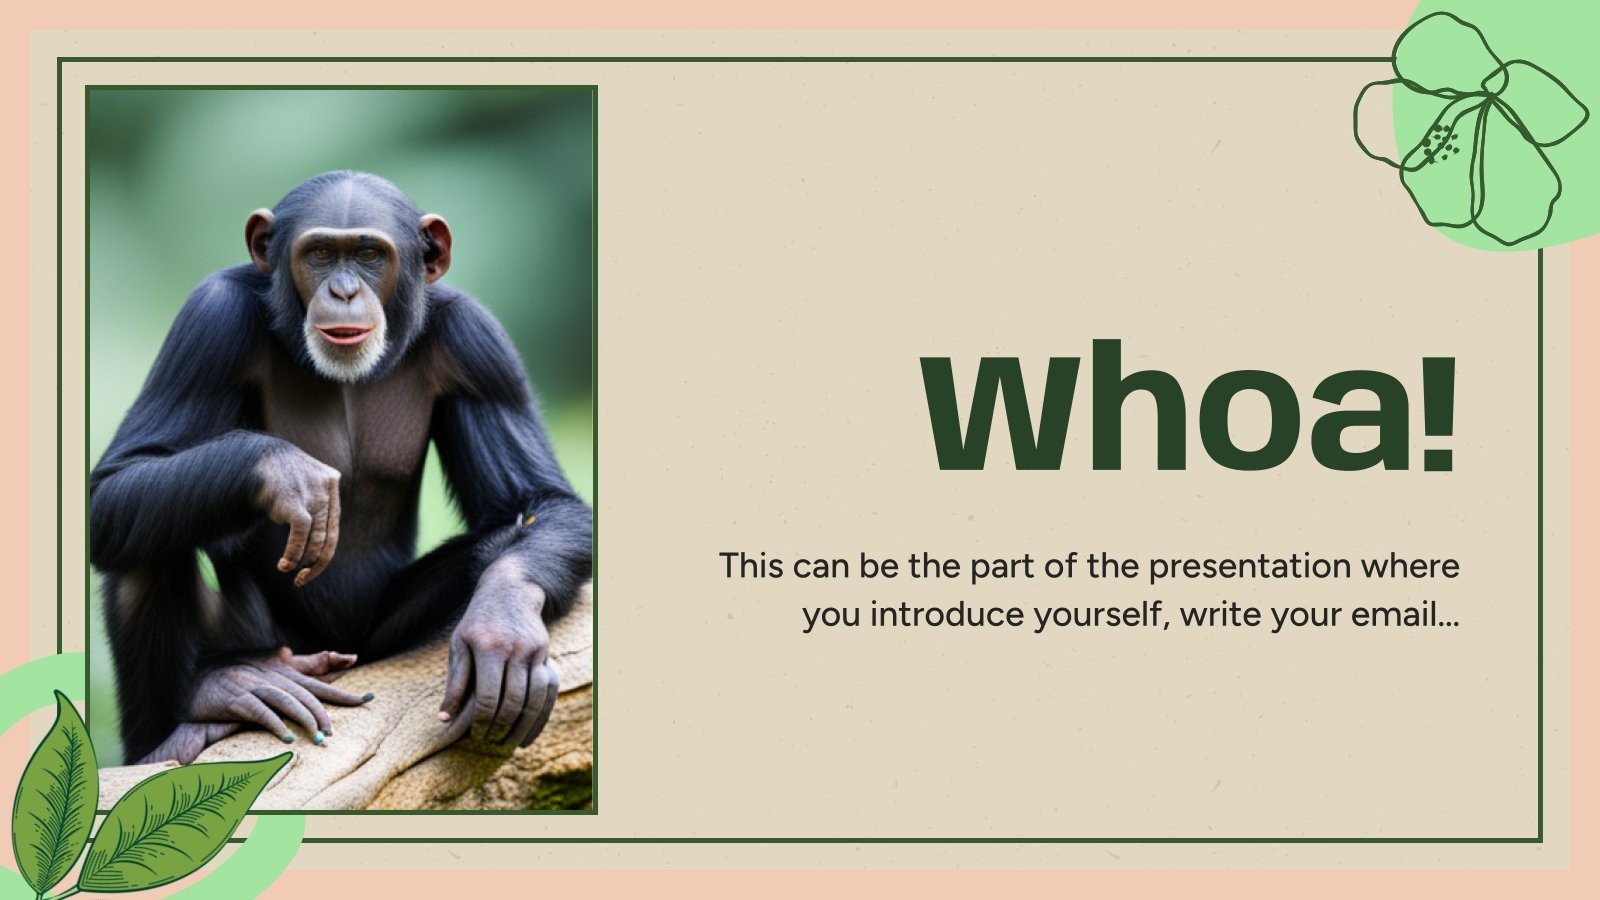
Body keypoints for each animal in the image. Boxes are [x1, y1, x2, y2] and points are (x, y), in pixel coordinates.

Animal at [89, 171, 593, 766]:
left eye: (370, 254)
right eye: (322, 254)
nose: (345, 291)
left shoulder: (479, 346)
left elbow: (540, 500)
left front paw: (502, 622)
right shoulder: (209, 319)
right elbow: (116, 481)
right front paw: (284, 472)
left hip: (373, 645)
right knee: (144, 548)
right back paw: (204, 707)